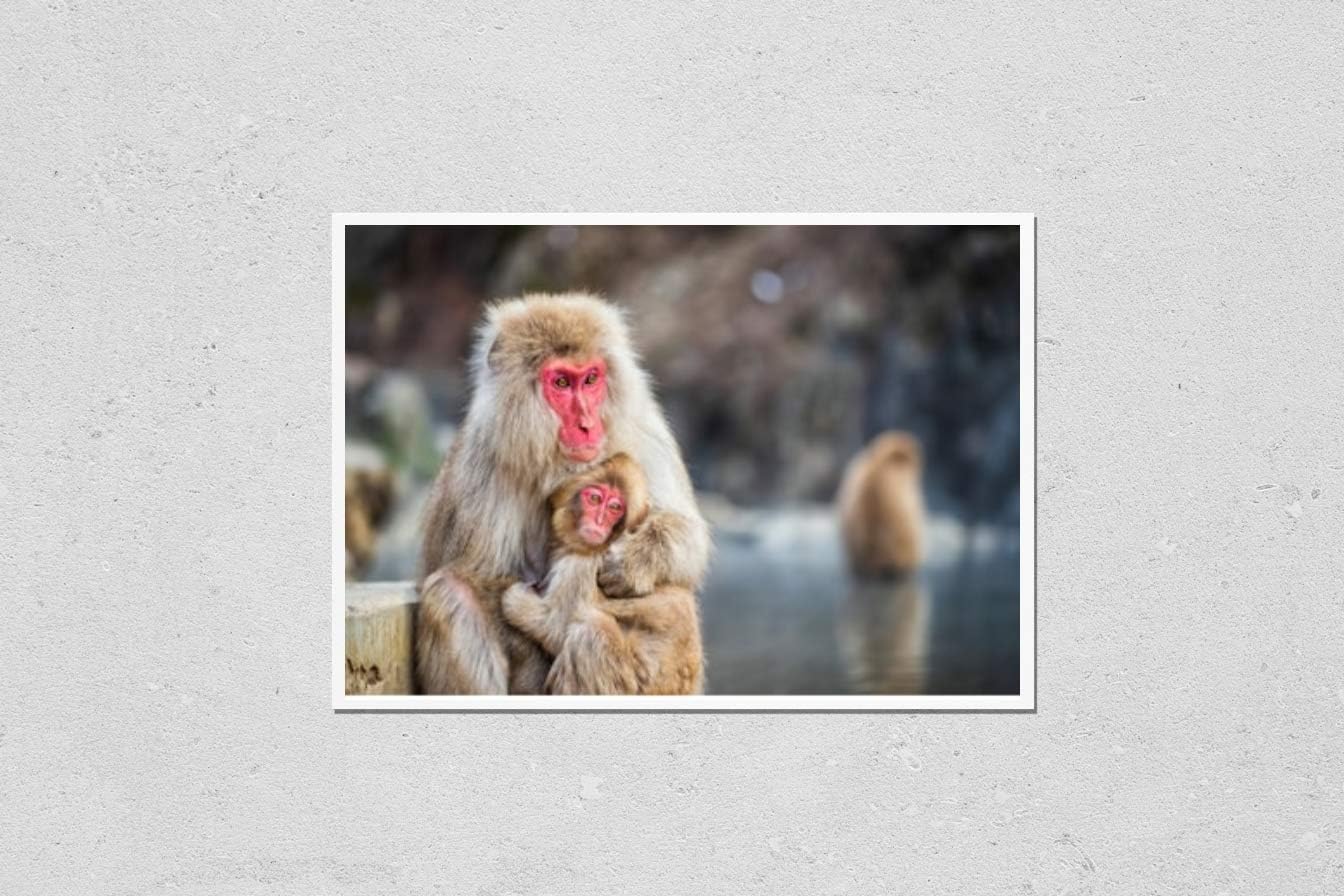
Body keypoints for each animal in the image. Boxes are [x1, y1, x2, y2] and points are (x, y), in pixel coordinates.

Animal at [500, 453, 704, 695]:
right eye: (595, 499)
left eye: (615, 507)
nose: (598, 522)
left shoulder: (583, 564)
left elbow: (554, 627)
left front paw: (514, 600)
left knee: (591, 631)